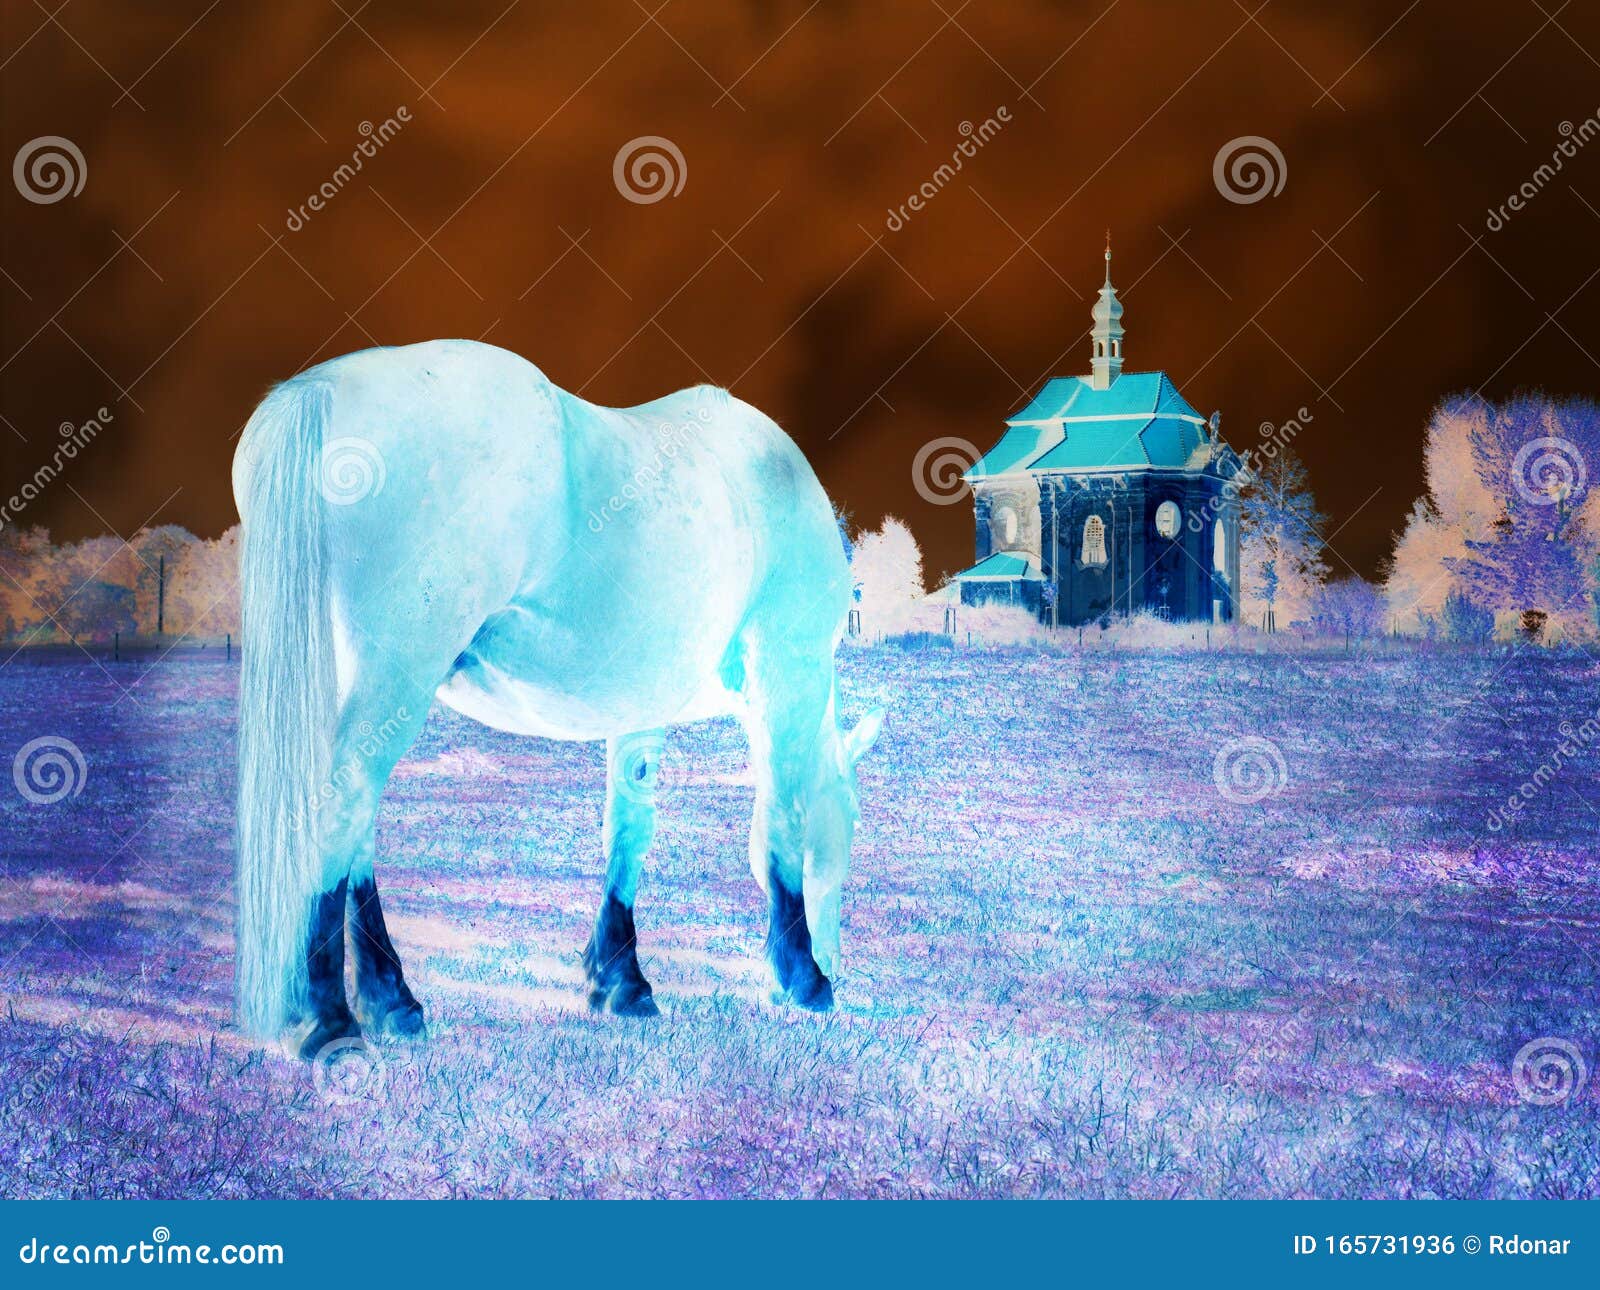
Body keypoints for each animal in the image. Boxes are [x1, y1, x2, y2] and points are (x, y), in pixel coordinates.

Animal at [232, 339, 882, 1059]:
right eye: (854, 822)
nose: (834, 959)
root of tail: (320, 387)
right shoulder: (790, 674)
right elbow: (783, 822)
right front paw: (804, 977)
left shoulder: (640, 711)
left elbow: (629, 829)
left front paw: (621, 980)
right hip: (392, 686)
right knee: (338, 812)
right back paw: (332, 1017)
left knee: (355, 839)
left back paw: (389, 999)